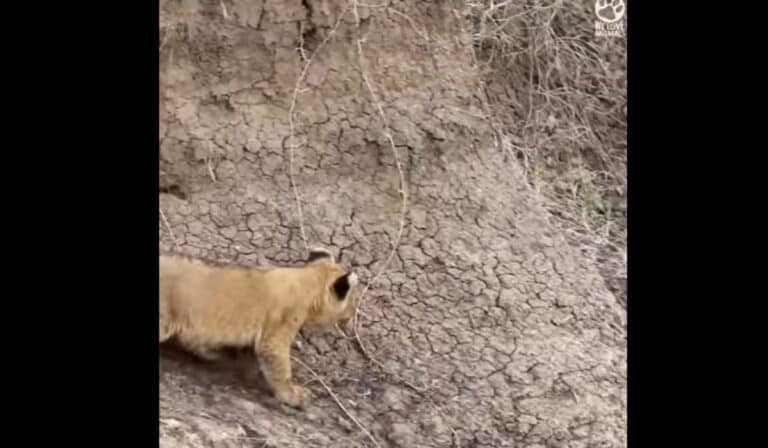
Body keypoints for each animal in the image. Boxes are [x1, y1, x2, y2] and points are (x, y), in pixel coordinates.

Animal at [159, 247, 358, 408]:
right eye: (351, 299)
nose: (351, 316)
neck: (308, 280)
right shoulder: (274, 338)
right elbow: (281, 369)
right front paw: (292, 396)